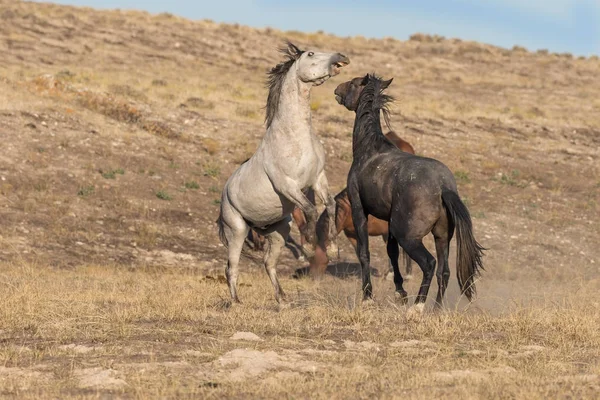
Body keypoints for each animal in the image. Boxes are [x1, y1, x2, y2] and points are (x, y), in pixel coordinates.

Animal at [217, 42, 350, 304]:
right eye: (310, 53)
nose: (341, 56)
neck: (294, 136)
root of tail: (225, 193)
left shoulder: (318, 178)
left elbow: (330, 205)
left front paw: (331, 247)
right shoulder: (287, 185)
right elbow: (310, 210)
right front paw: (310, 246)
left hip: (278, 231)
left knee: (269, 263)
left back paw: (283, 300)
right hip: (236, 230)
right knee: (231, 267)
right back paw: (236, 302)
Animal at [338, 75, 482, 306]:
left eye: (353, 82)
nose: (337, 89)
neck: (370, 148)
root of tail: (443, 186)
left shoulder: (359, 210)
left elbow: (364, 252)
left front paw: (368, 297)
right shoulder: (389, 223)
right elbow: (392, 252)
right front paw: (400, 292)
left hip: (409, 237)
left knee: (430, 264)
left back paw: (418, 306)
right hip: (442, 237)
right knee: (444, 271)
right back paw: (435, 308)